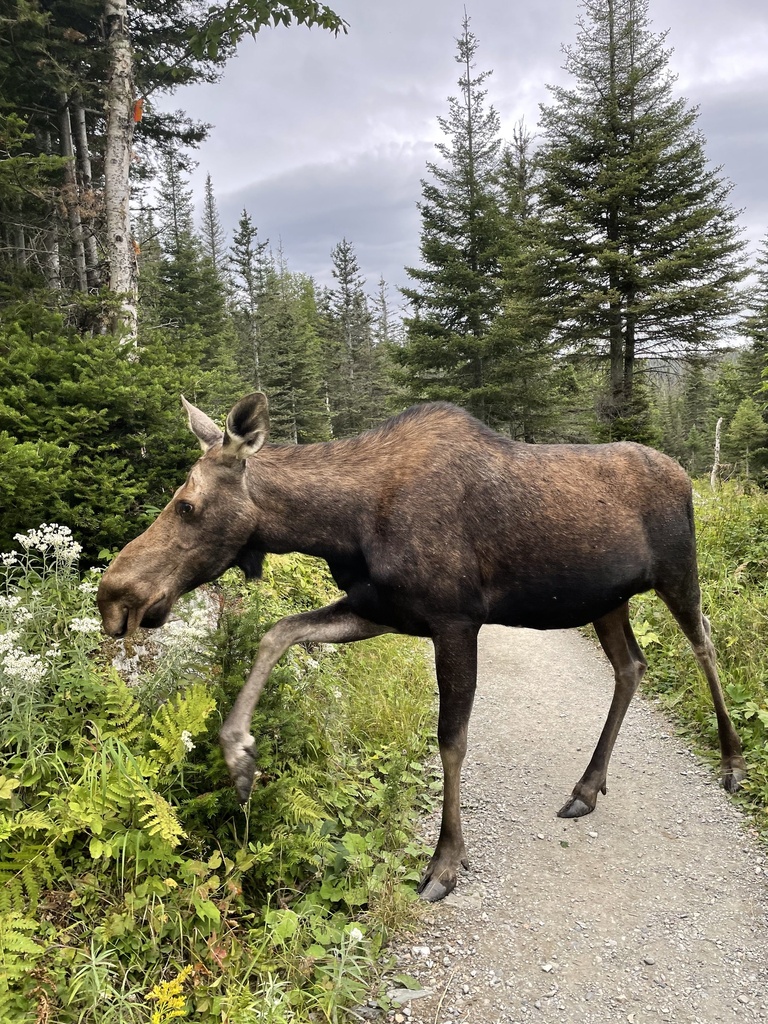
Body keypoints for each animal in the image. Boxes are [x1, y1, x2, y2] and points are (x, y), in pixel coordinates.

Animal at [97, 393, 746, 902]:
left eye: (187, 505)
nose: (113, 595)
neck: (343, 527)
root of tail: (686, 475)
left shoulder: (455, 621)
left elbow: (451, 741)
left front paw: (446, 862)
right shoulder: (381, 611)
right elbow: (277, 633)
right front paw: (239, 756)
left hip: (678, 572)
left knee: (705, 645)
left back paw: (733, 762)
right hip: (605, 601)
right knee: (631, 666)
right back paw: (587, 786)